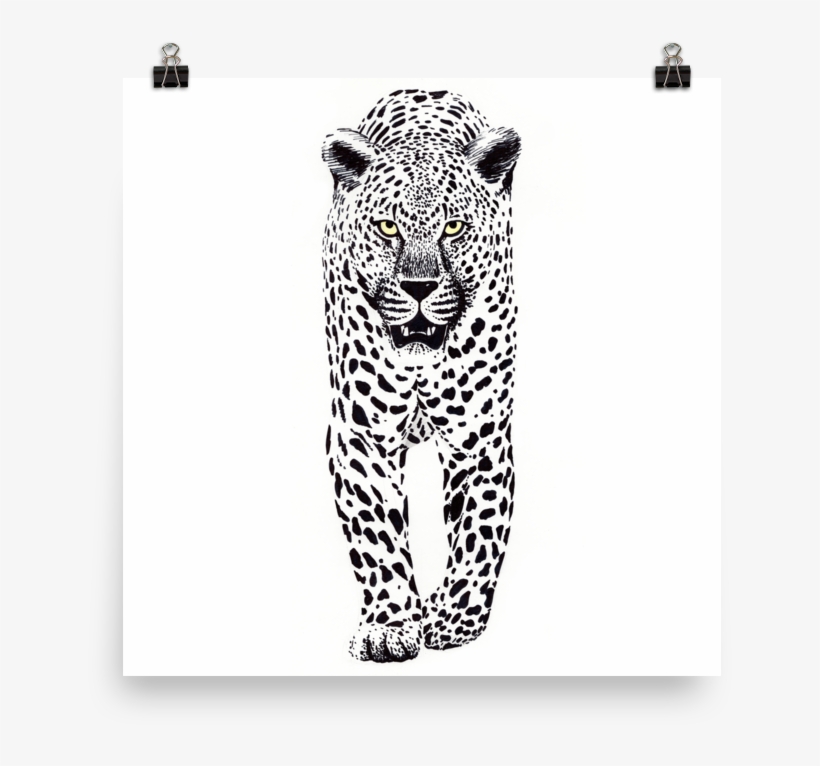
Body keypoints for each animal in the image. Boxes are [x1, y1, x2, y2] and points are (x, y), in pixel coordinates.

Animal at [321, 89, 521, 662]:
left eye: (452, 227)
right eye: (388, 228)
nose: (418, 288)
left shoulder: (480, 438)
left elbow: (479, 533)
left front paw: (452, 620)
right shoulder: (362, 436)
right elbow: (377, 537)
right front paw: (389, 627)